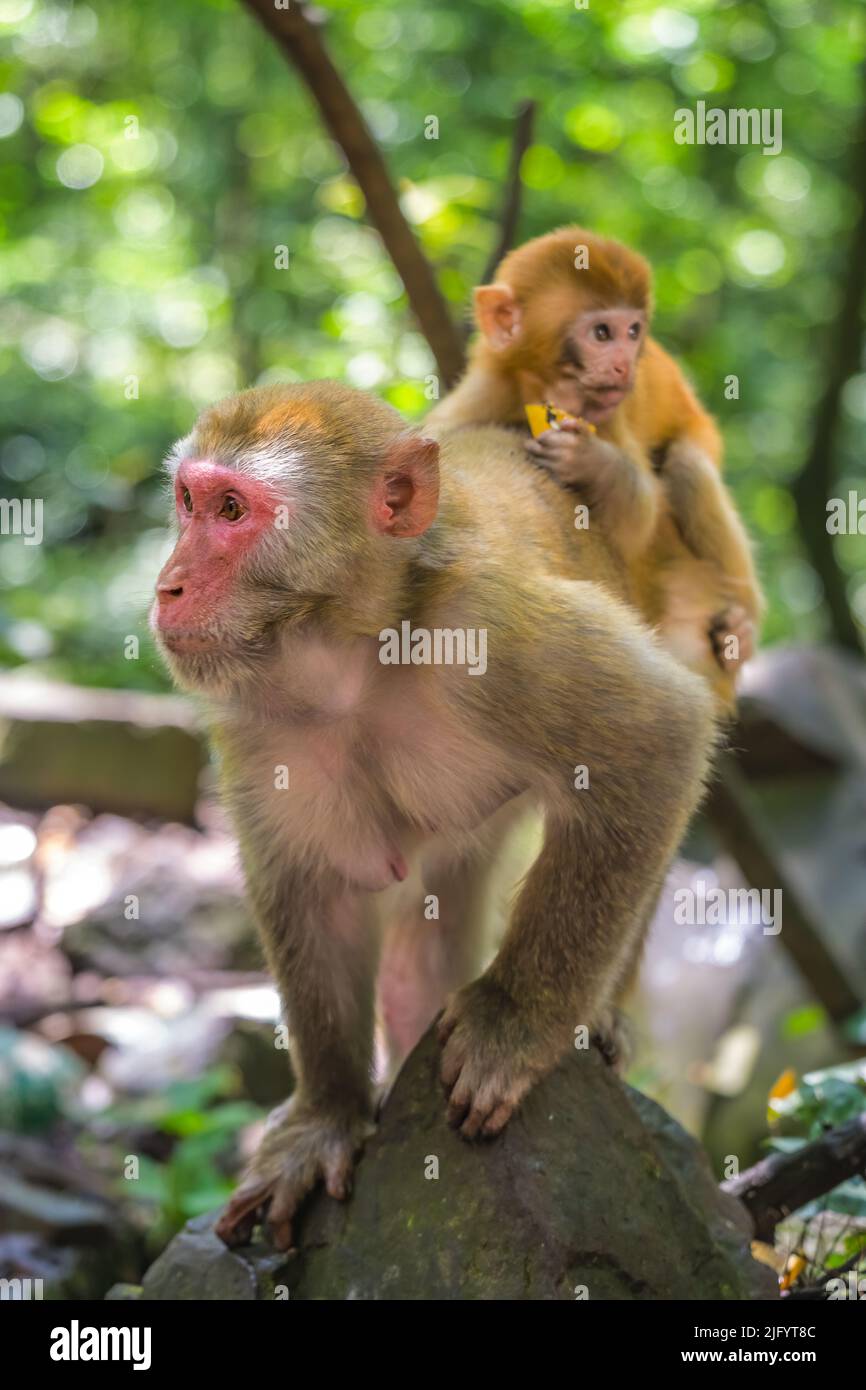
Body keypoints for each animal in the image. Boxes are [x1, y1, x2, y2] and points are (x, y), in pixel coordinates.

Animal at [151, 381, 715, 1251]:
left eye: (233, 509)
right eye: (188, 501)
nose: (169, 587)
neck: (354, 650)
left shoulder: (490, 630)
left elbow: (662, 736)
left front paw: (514, 1021)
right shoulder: (254, 720)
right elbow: (315, 892)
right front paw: (327, 1115)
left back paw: (599, 1015)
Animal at [426, 226, 764, 711]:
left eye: (633, 331)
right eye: (602, 333)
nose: (623, 365)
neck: (543, 390)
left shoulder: (610, 412)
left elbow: (639, 516)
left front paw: (589, 460)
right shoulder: (491, 389)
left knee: (687, 465)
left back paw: (742, 626)